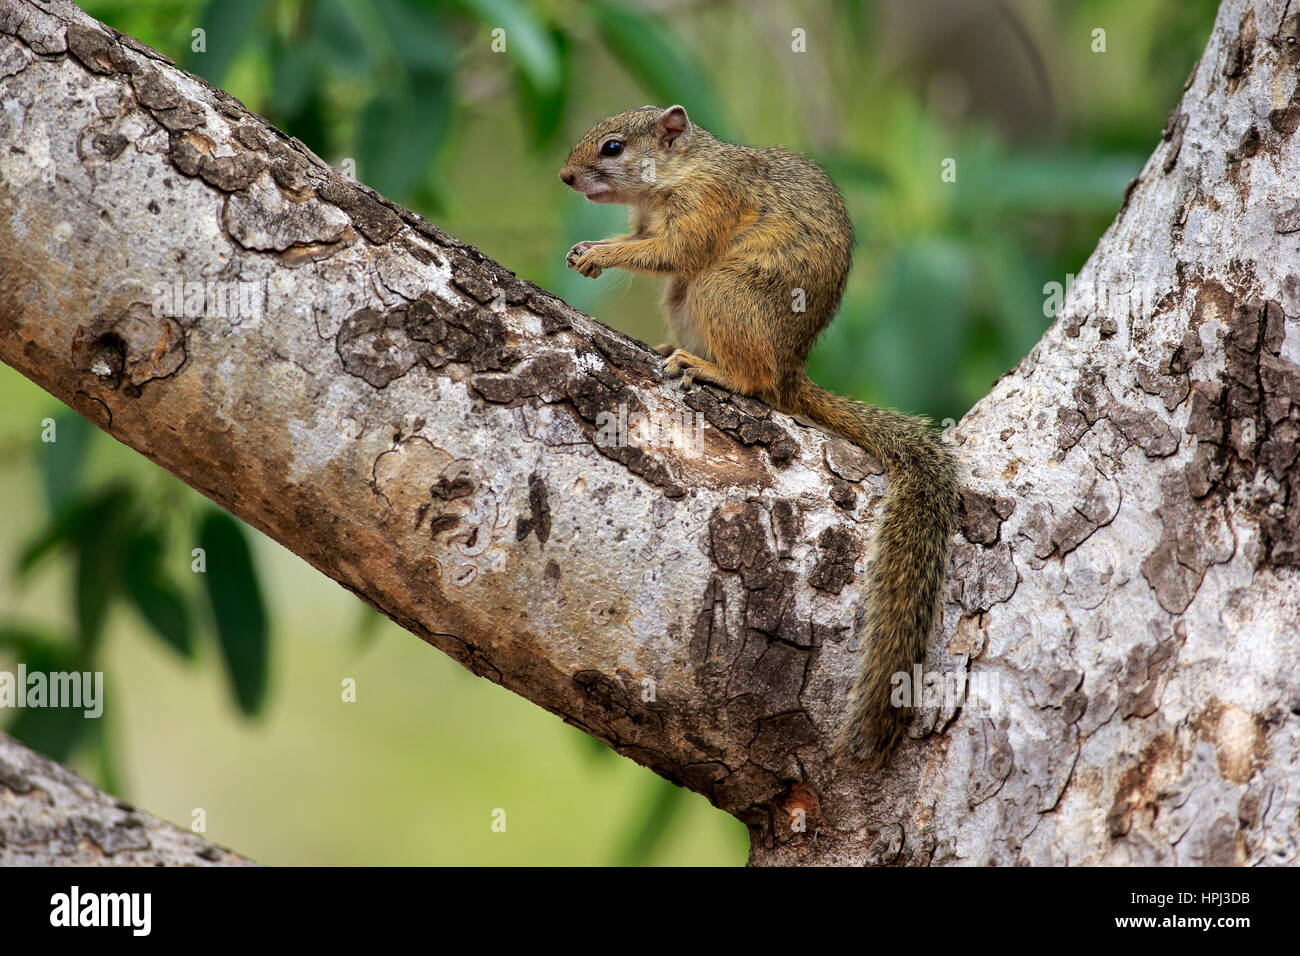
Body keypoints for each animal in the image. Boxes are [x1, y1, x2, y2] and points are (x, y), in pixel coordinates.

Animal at [559, 105, 959, 768]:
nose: (566, 177)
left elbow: (672, 249)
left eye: (613, 147)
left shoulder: (708, 203)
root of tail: (791, 370)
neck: (680, 172)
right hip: (690, 300)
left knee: (752, 378)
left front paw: (599, 253)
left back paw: (711, 368)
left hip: (723, 290)